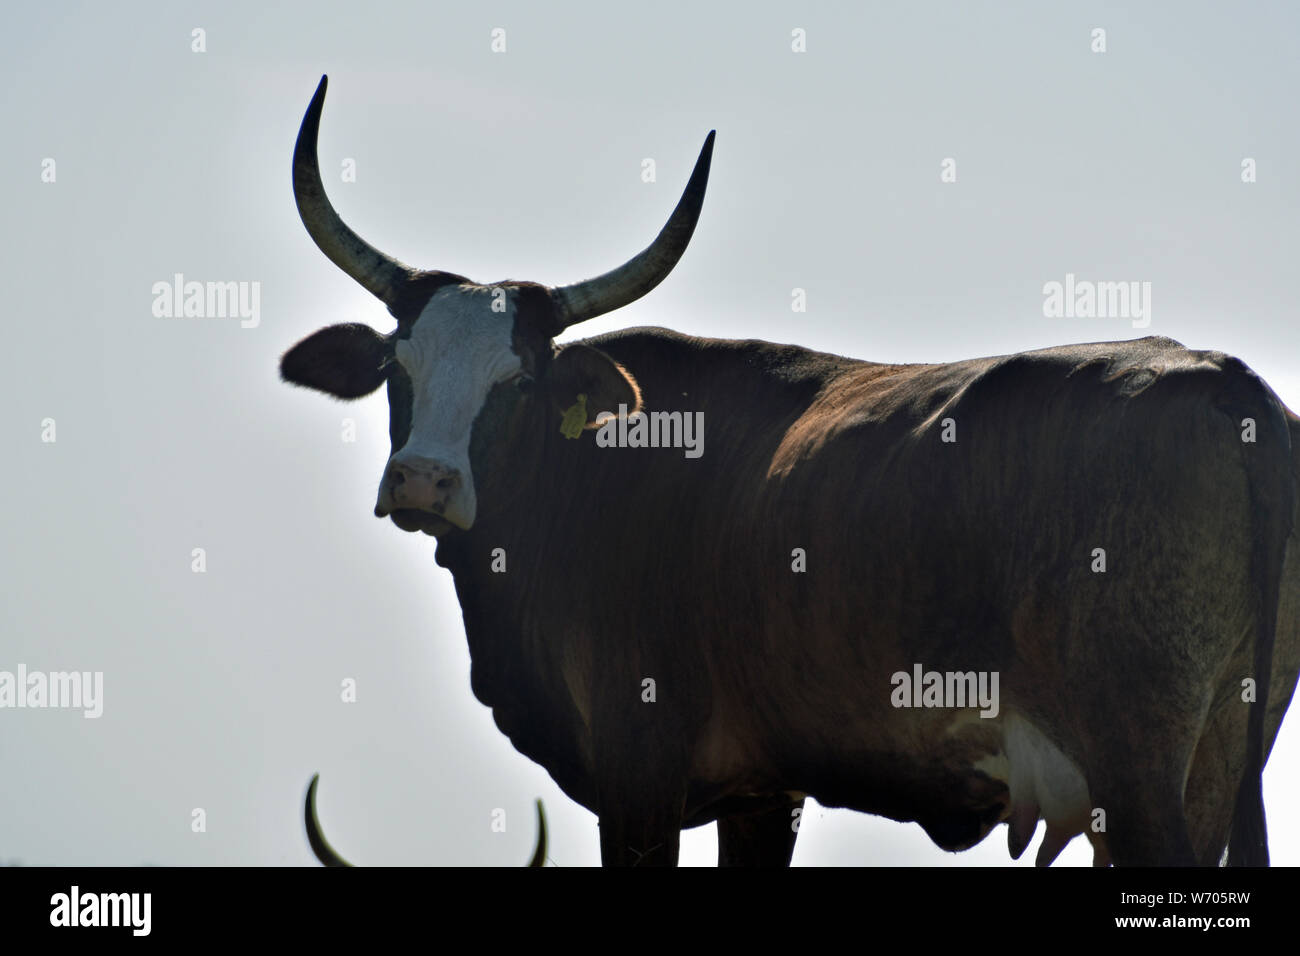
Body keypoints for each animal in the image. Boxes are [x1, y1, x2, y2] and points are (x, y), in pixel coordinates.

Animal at [280, 76, 1300, 866]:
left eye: (518, 381)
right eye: (397, 366)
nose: (423, 482)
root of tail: (1221, 378)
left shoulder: (639, 779)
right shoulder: (762, 792)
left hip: (1139, 774)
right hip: (1216, 764)